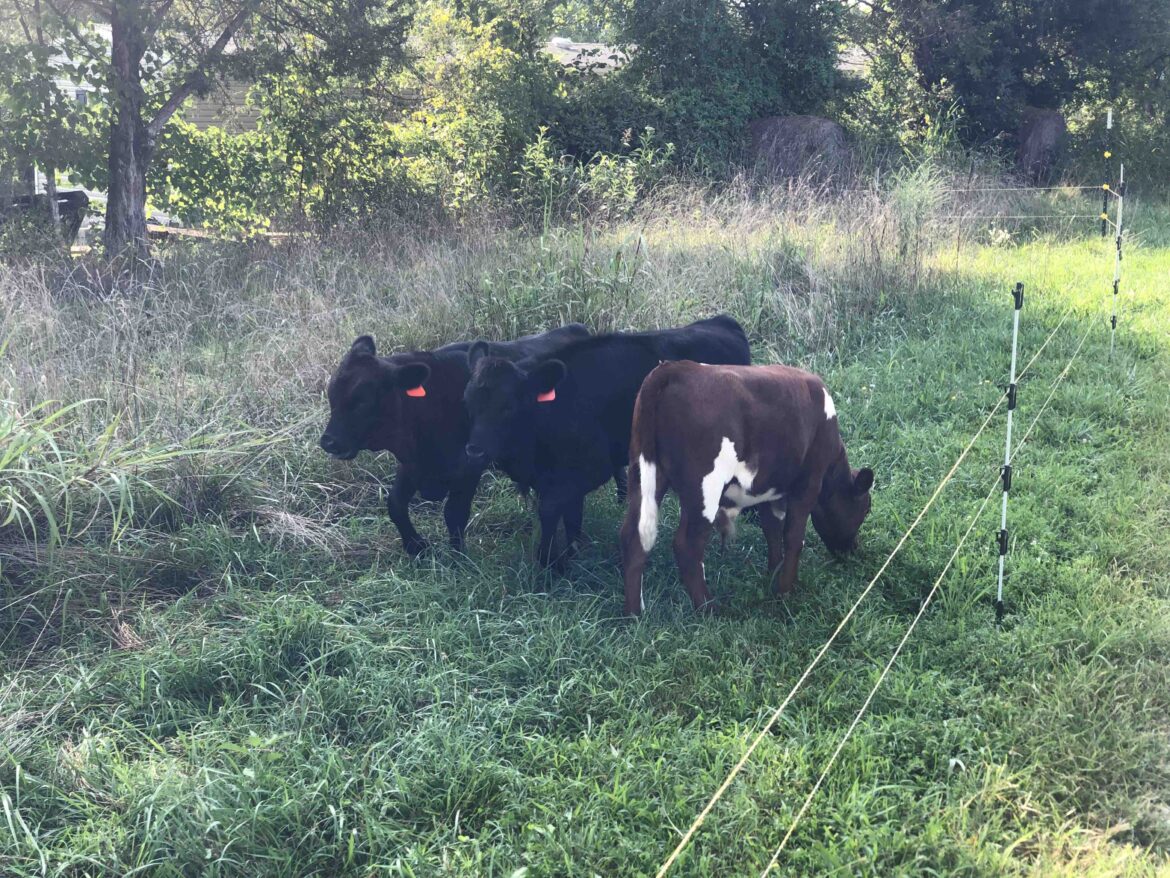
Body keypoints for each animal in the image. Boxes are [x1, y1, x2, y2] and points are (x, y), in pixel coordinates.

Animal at [319, 324, 593, 556]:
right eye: (332, 395)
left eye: (362, 401)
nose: (328, 442)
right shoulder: (411, 464)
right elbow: (395, 504)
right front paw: (416, 547)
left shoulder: (469, 464)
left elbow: (454, 513)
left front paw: (457, 557)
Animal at [462, 315, 752, 567]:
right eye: (469, 401)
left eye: (508, 407)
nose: (474, 452)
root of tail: (722, 322)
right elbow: (571, 517)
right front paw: (571, 554)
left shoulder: (590, 469)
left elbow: (551, 510)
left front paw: (549, 563)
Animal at [619, 361, 874, 615]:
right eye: (865, 510)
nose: (853, 550)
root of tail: (675, 368)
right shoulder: (808, 484)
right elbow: (793, 537)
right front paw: (785, 593)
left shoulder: (770, 487)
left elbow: (772, 529)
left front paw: (773, 575)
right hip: (704, 487)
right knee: (687, 546)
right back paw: (710, 609)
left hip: (643, 475)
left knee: (634, 538)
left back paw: (634, 614)